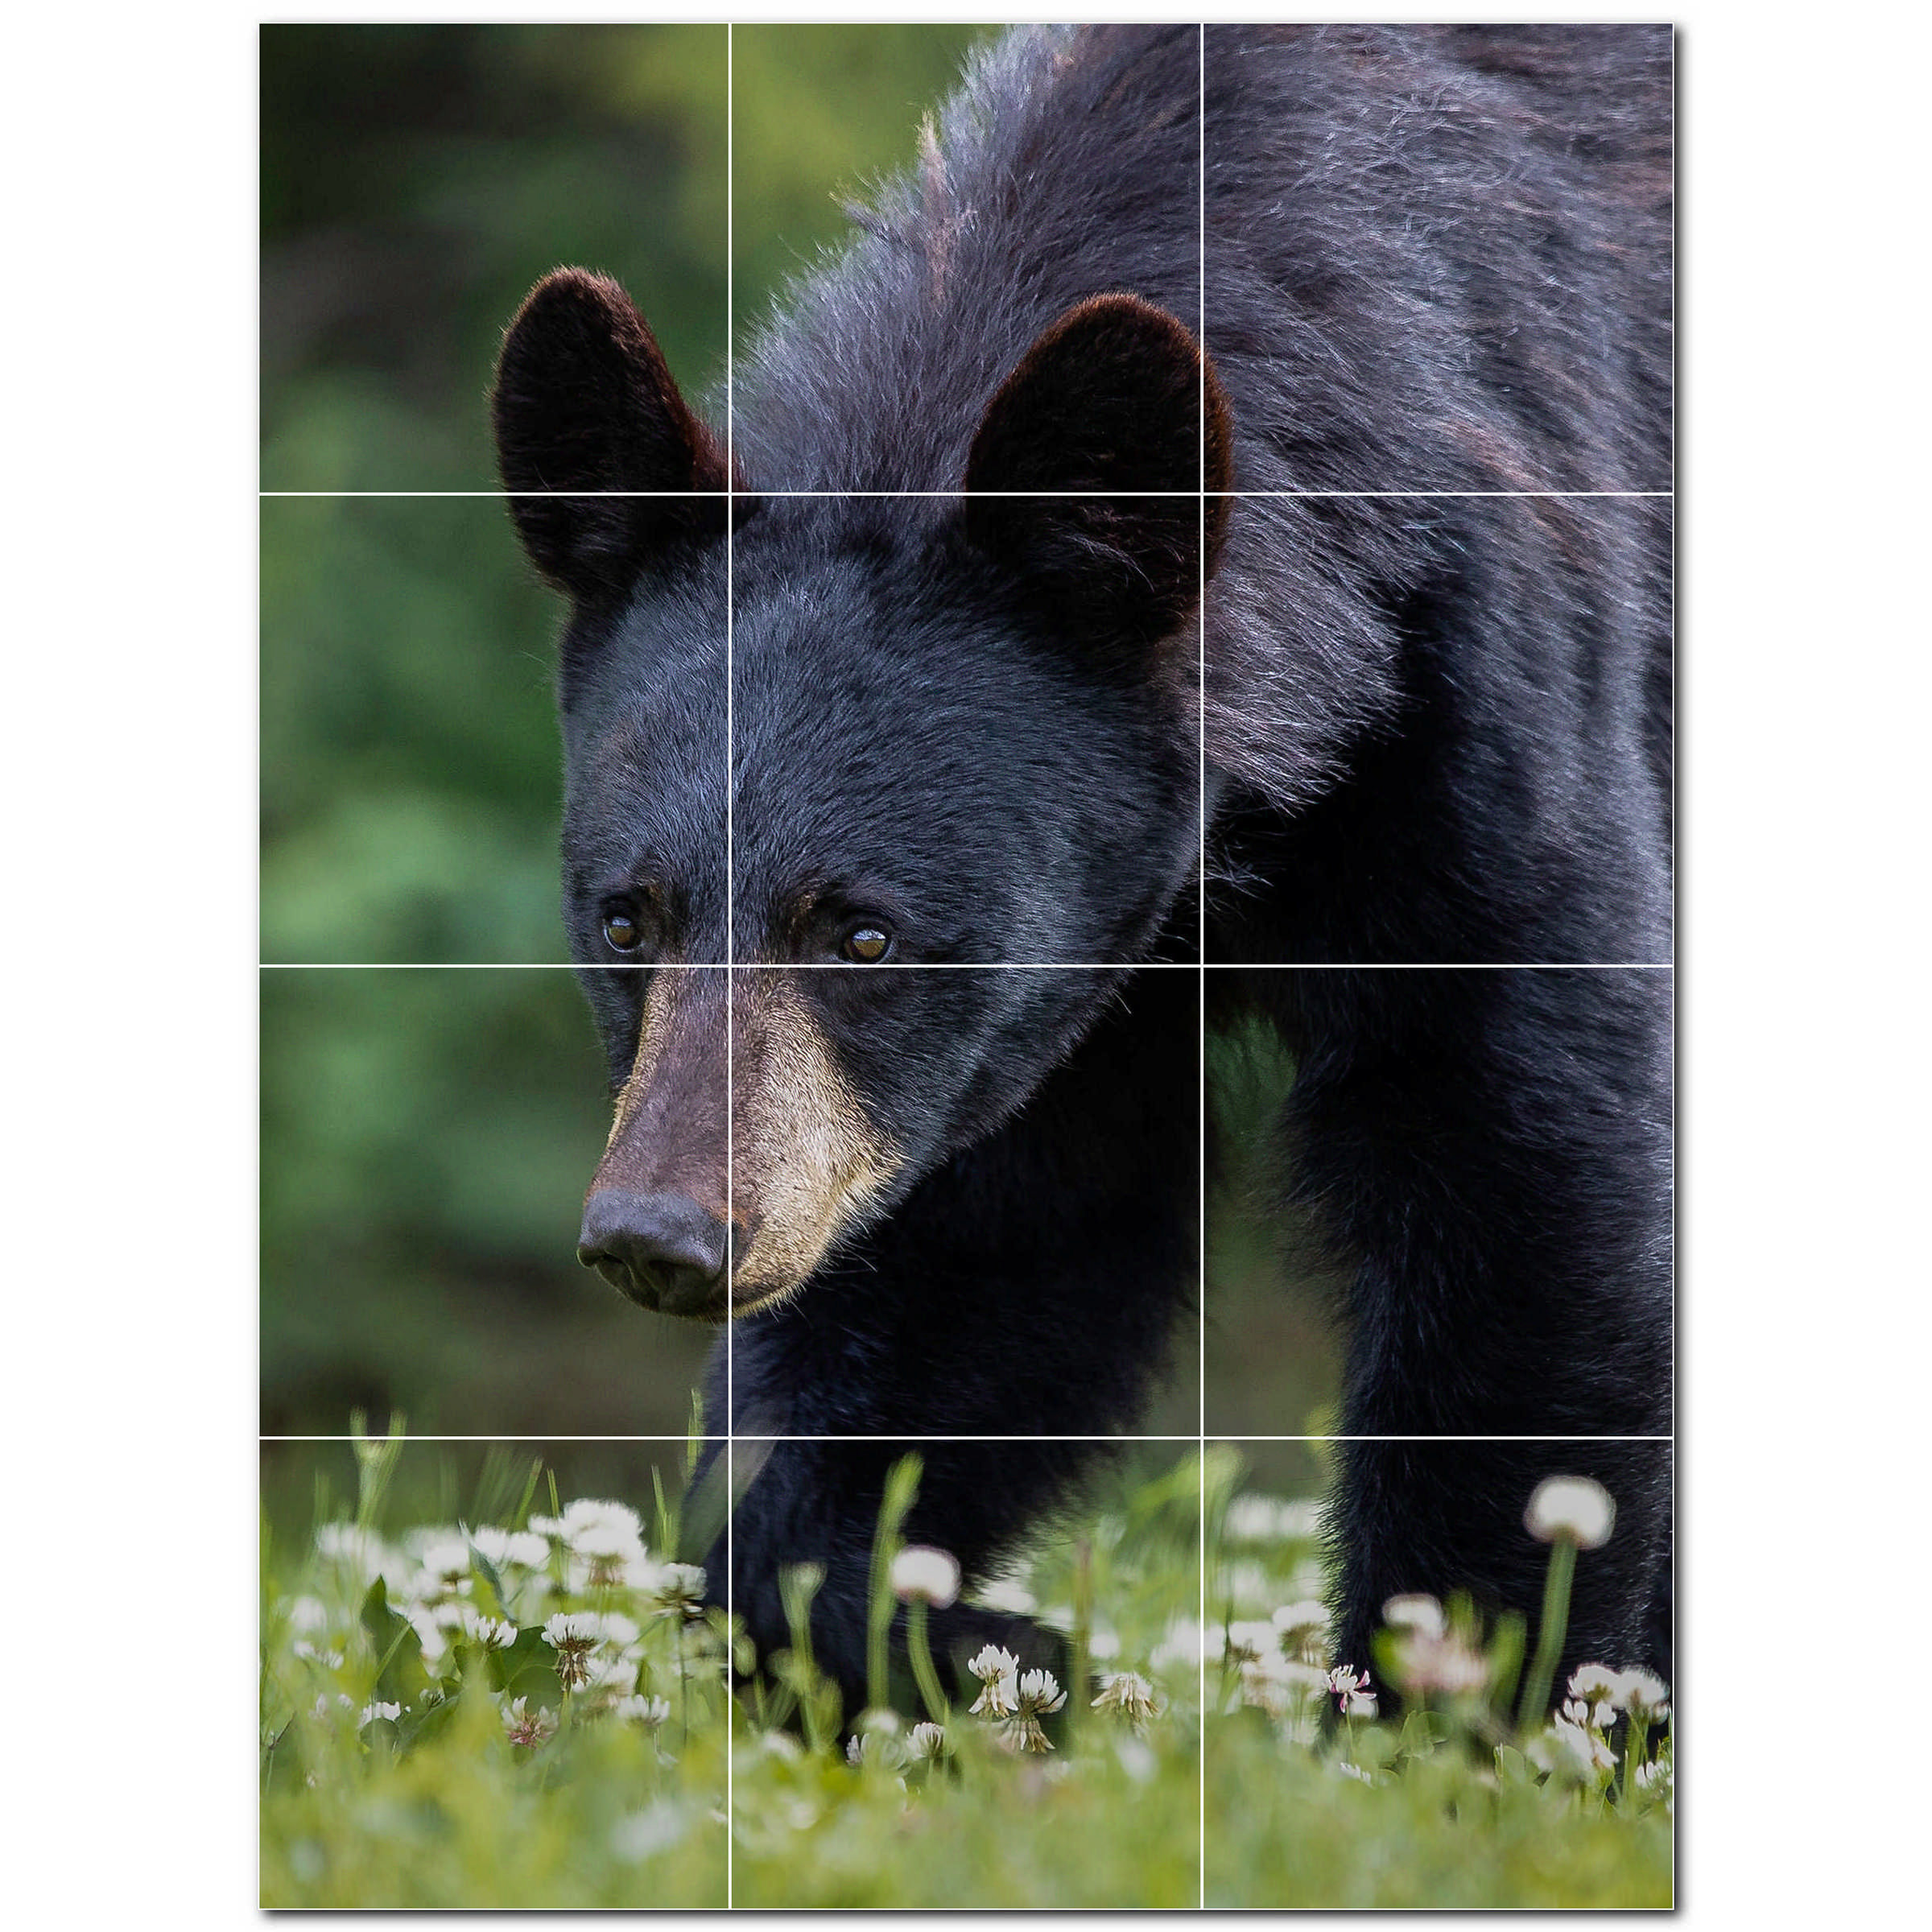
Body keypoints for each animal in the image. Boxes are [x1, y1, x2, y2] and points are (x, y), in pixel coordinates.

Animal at [488, 23, 1672, 1712]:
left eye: (862, 933)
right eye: (628, 921)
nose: (663, 1238)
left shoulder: (1491, 691)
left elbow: (1525, 1170)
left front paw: (1450, 1706)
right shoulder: (1038, 1001)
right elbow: (991, 1251)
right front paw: (946, 1637)